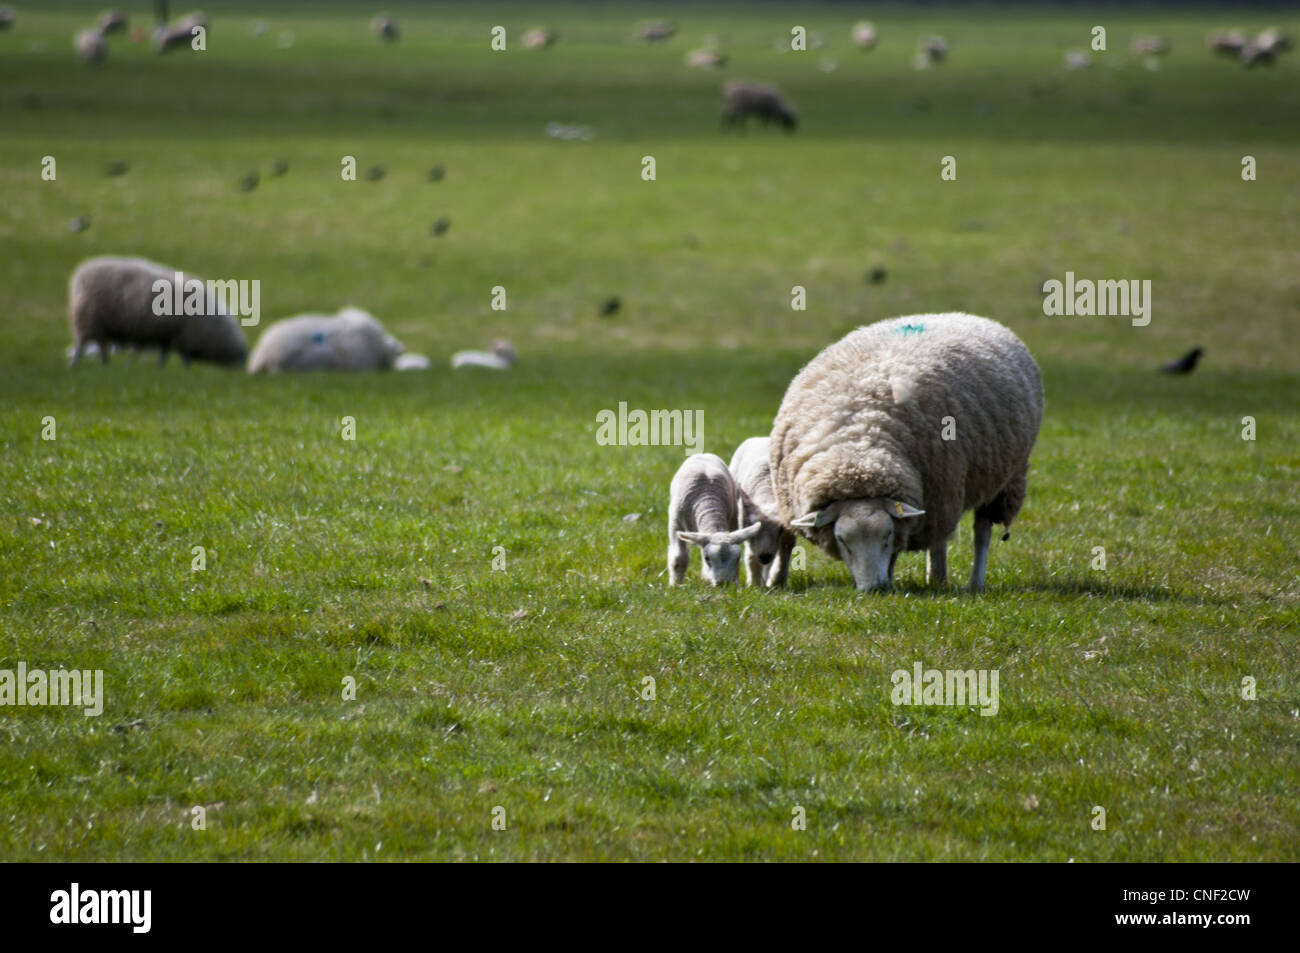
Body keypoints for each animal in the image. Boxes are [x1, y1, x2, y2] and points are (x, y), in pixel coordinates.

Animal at [67, 256, 248, 368]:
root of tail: (81, 273)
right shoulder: (183, 336)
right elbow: (183, 357)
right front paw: (183, 369)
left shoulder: (167, 335)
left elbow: (165, 354)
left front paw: (161, 367)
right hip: (87, 318)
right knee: (81, 344)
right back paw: (75, 364)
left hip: (101, 325)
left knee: (101, 346)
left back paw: (104, 364)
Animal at [668, 453, 762, 586]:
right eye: (707, 558)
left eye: (738, 558)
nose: (724, 583)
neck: (708, 501)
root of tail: (703, 454)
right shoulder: (675, 523)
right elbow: (679, 559)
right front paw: (675, 585)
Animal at [728, 437, 797, 588]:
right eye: (753, 526)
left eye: (780, 530)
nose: (765, 556)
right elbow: (751, 556)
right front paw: (754, 585)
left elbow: (785, 549)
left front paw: (778, 582)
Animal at [769, 313, 1043, 592]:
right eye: (841, 539)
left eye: (887, 534)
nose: (874, 589)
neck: (859, 448)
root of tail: (961, 315)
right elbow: (786, 540)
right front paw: (776, 581)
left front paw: (891, 579)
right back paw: (938, 577)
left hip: (998, 480)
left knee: (980, 532)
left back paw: (969, 582)